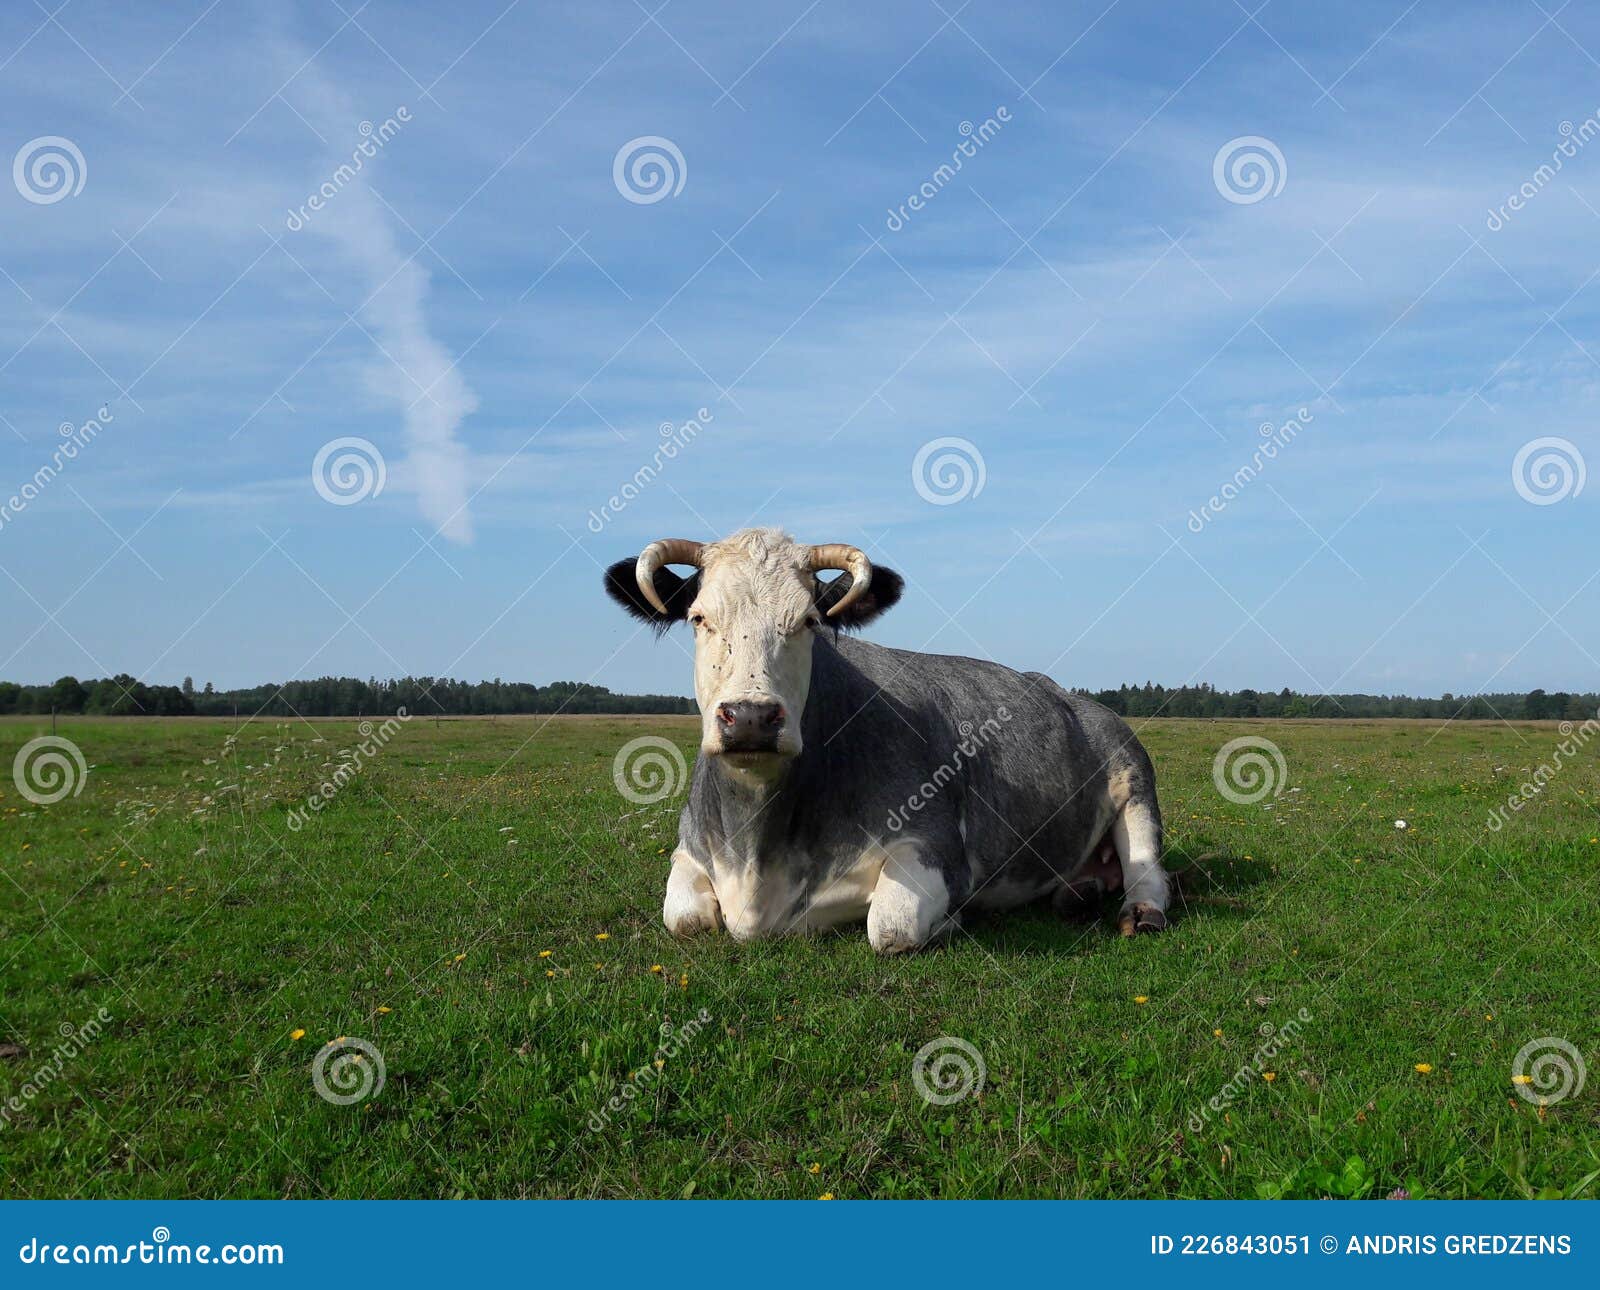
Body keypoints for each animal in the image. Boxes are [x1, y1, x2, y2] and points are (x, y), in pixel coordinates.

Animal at [604, 528, 1172, 953]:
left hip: (1134, 777)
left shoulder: (936, 844)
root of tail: (1067, 694)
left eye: (808, 621)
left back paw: (1139, 910)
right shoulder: (690, 850)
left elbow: (890, 927)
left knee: (1149, 870)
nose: (750, 717)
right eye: (699, 617)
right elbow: (686, 919)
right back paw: (1080, 892)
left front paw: (950, 922)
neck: (756, 852)